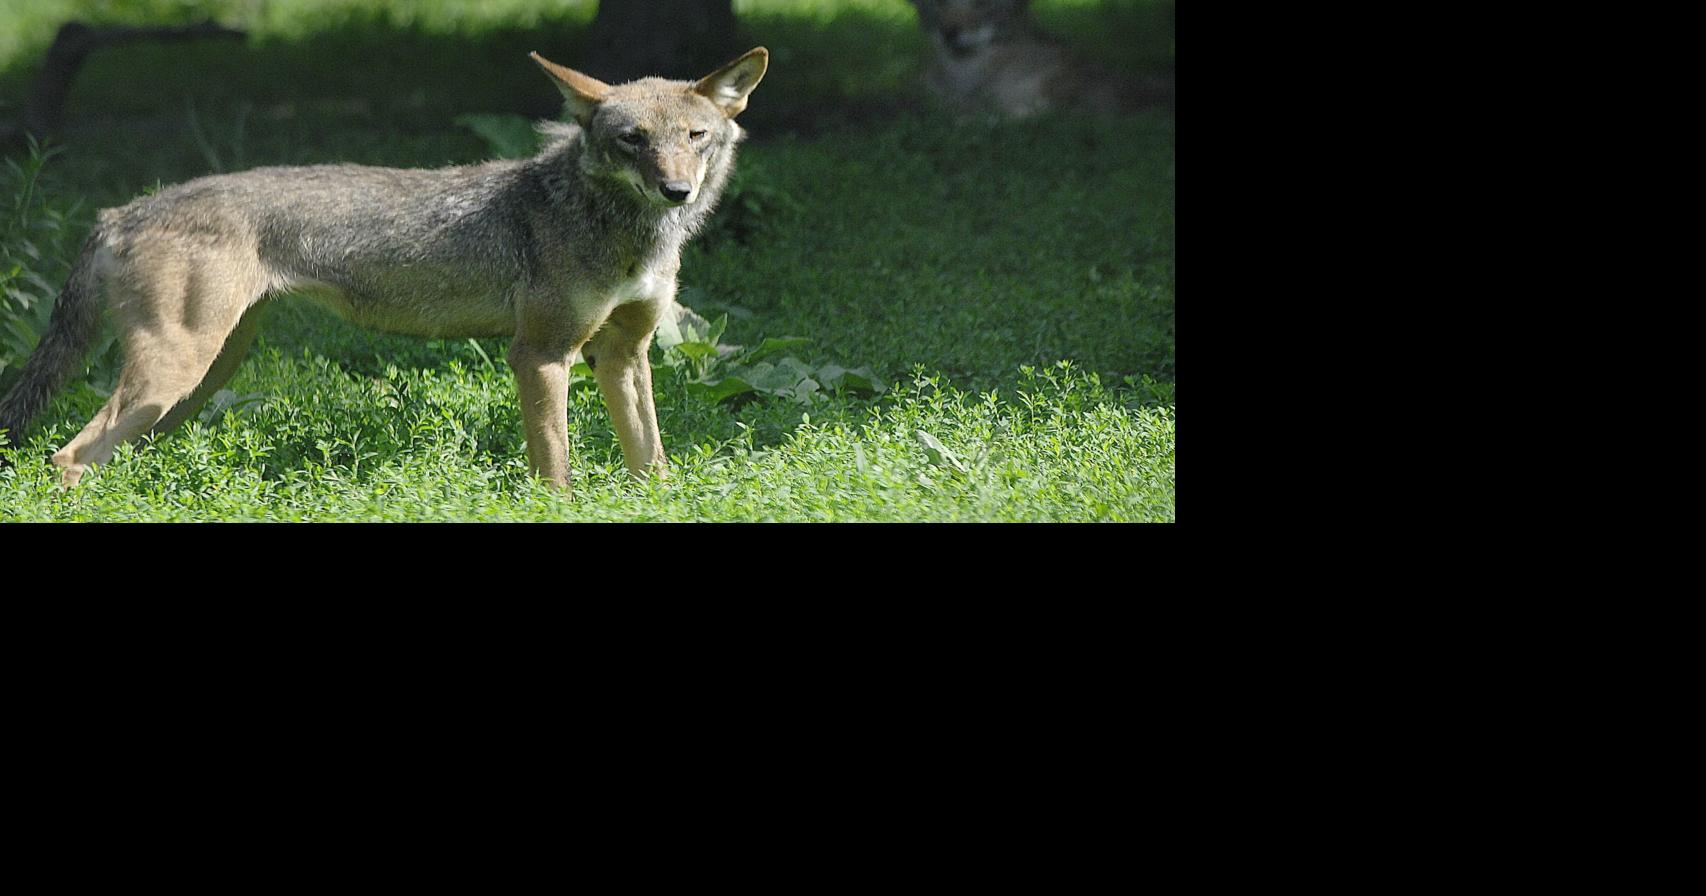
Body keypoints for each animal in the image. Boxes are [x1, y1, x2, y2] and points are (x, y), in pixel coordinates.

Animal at [0, 47, 769, 491]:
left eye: (695, 137)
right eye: (632, 140)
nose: (677, 191)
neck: (625, 232)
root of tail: (121, 211)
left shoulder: (623, 355)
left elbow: (653, 464)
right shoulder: (540, 355)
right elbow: (555, 473)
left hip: (196, 382)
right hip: (174, 376)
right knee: (67, 459)